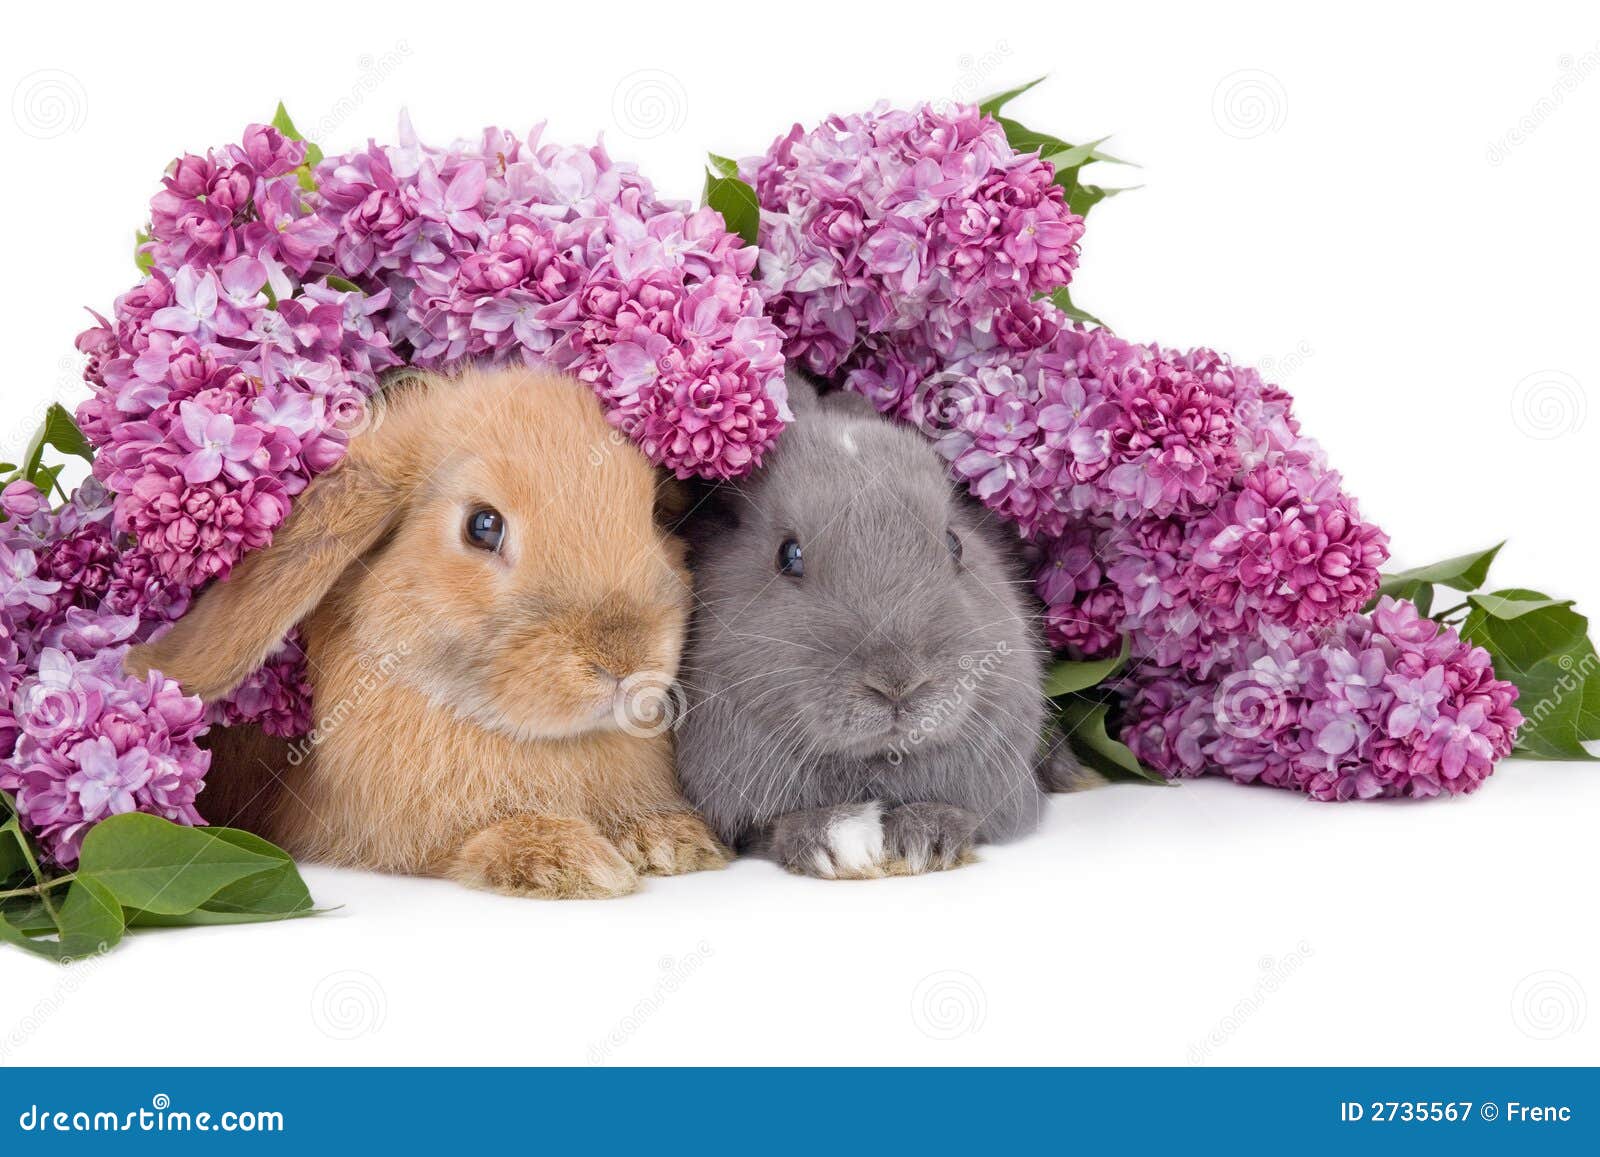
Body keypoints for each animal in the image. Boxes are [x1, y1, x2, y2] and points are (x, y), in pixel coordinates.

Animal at [125, 365, 729, 899]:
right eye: (483, 525)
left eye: (656, 513)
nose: (624, 661)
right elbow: (464, 839)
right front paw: (567, 860)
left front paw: (671, 840)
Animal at [674, 371, 1097, 880]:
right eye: (788, 556)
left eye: (955, 544)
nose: (898, 683)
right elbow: (779, 827)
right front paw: (839, 847)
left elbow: (962, 814)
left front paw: (924, 843)